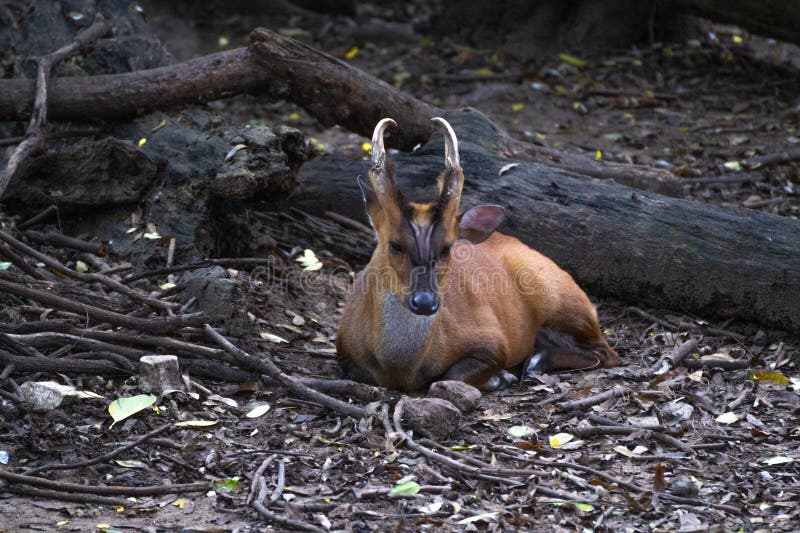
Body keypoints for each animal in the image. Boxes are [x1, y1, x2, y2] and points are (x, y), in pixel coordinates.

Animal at [335, 117, 618, 392]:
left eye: (447, 246)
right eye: (395, 245)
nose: (425, 302)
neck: (400, 371)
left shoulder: (493, 340)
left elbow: (450, 377)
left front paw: (500, 377)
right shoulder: (344, 353)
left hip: (561, 298)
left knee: (607, 353)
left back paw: (537, 362)